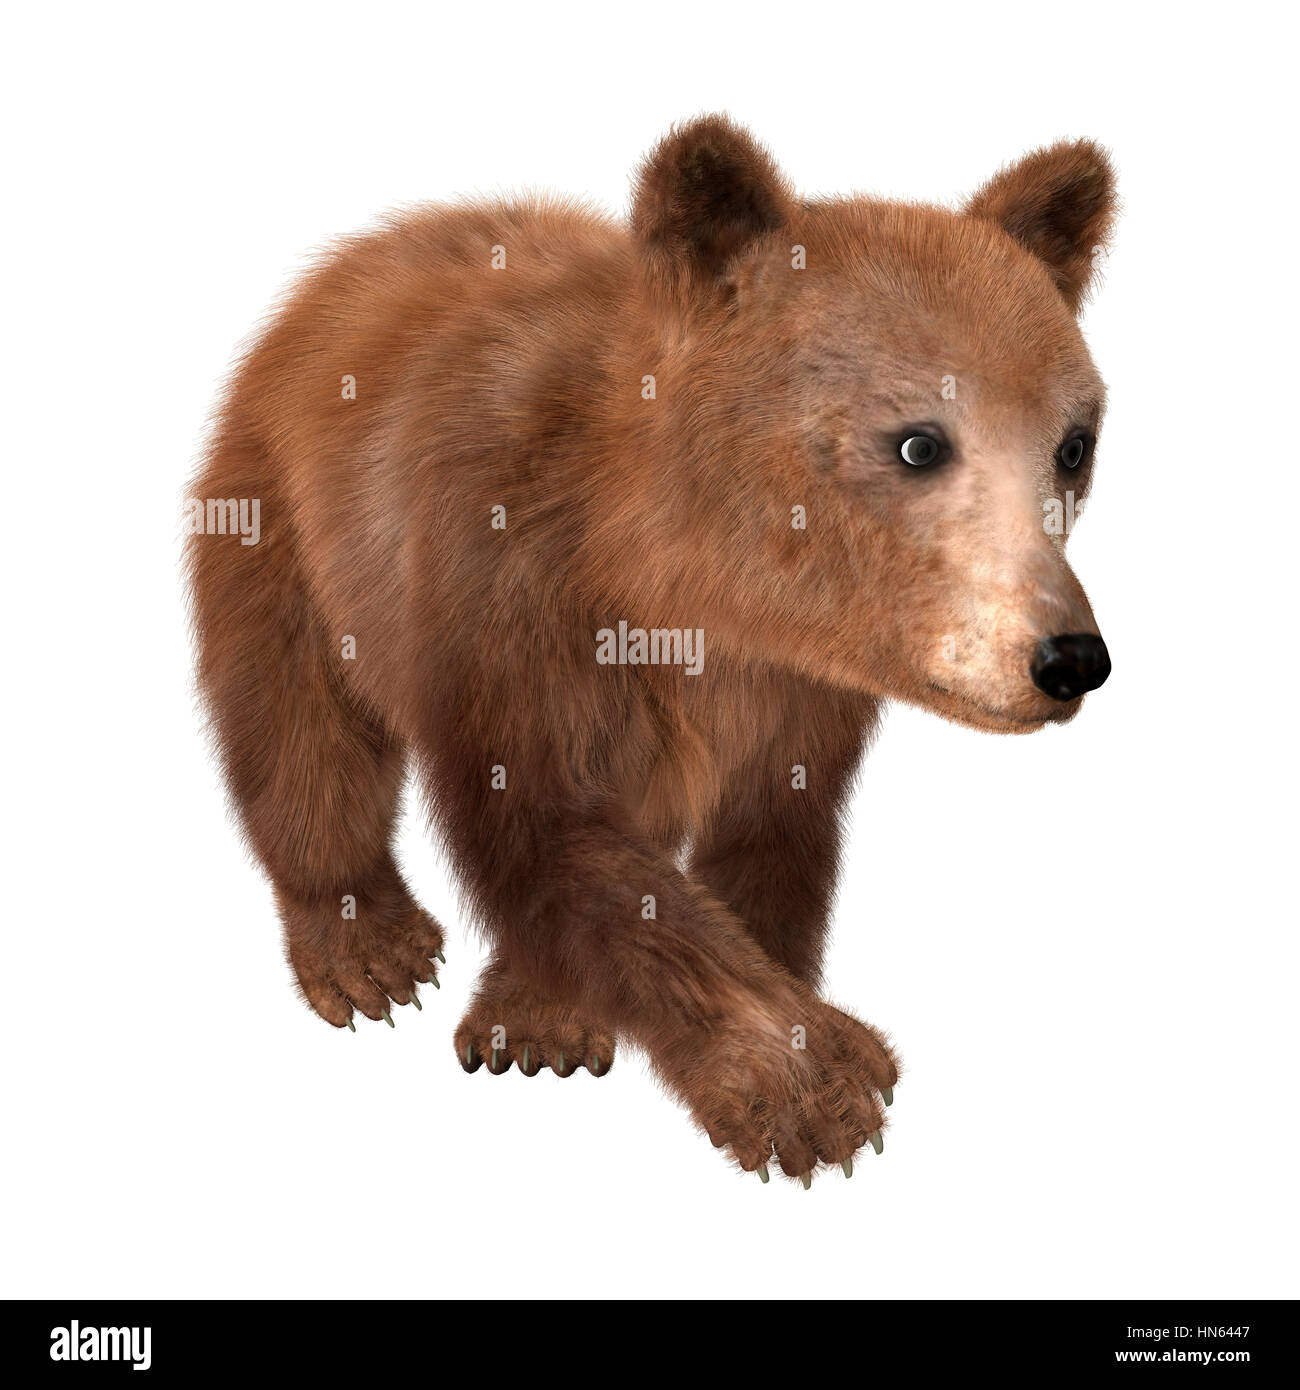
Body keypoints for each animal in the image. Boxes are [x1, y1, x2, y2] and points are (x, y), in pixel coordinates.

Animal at [187, 115, 1115, 1185]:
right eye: (920, 441)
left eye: (1074, 443)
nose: (1070, 656)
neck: (686, 577)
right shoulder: (511, 596)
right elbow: (554, 829)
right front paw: (815, 1090)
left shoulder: (795, 691)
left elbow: (770, 842)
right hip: (281, 522)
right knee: (301, 735)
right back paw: (368, 947)